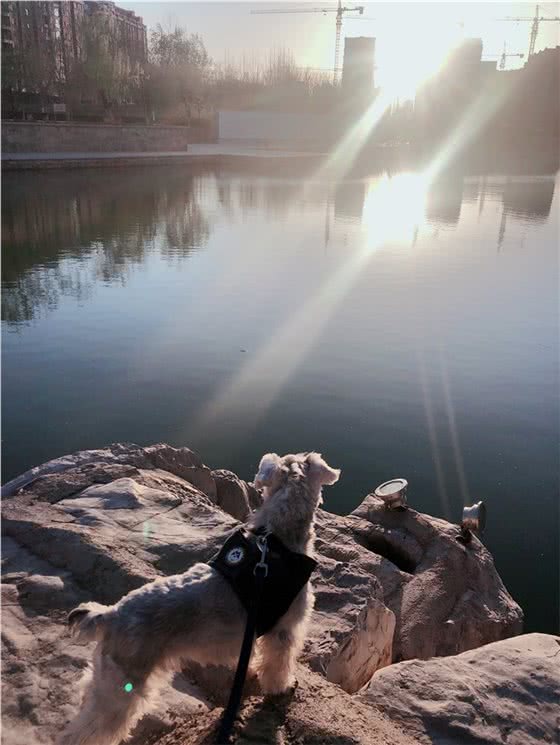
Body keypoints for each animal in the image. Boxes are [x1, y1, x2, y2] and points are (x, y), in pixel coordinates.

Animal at [61, 450, 342, 740]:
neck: (277, 539)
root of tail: (110, 615)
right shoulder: (284, 630)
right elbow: (279, 664)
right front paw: (281, 687)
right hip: (122, 686)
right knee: (91, 730)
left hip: (103, 679)